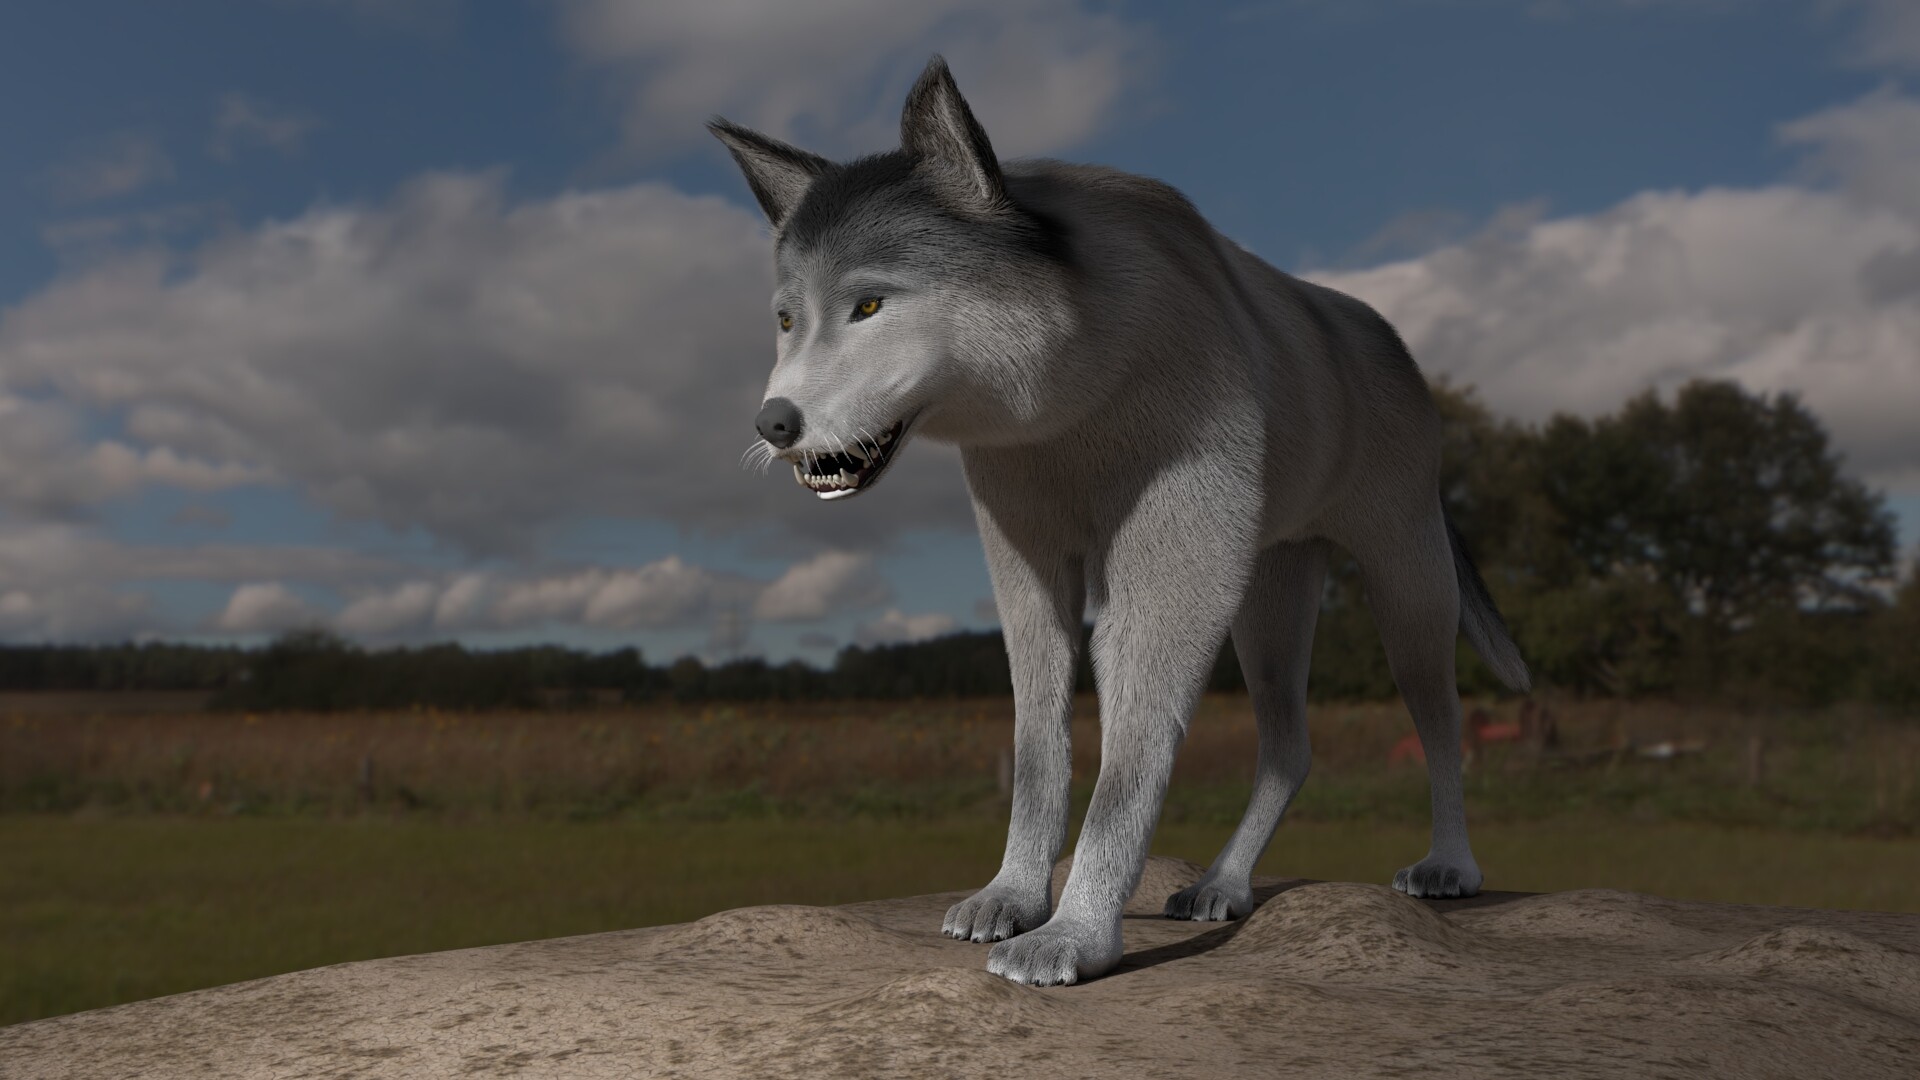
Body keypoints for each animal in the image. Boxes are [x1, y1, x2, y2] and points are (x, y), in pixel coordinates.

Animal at [711, 56, 1531, 987]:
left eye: (871, 306)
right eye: (786, 320)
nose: (772, 424)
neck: (1075, 392)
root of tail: (1387, 336)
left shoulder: (1170, 578)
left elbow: (1129, 765)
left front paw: (1074, 934)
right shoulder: (1028, 566)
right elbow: (1039, 747)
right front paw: (1011, 896)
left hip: (1406, 583)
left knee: (1441, 719)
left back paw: (1449, 867)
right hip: (1270, 598)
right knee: (1289, 747)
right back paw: (1222, 885)